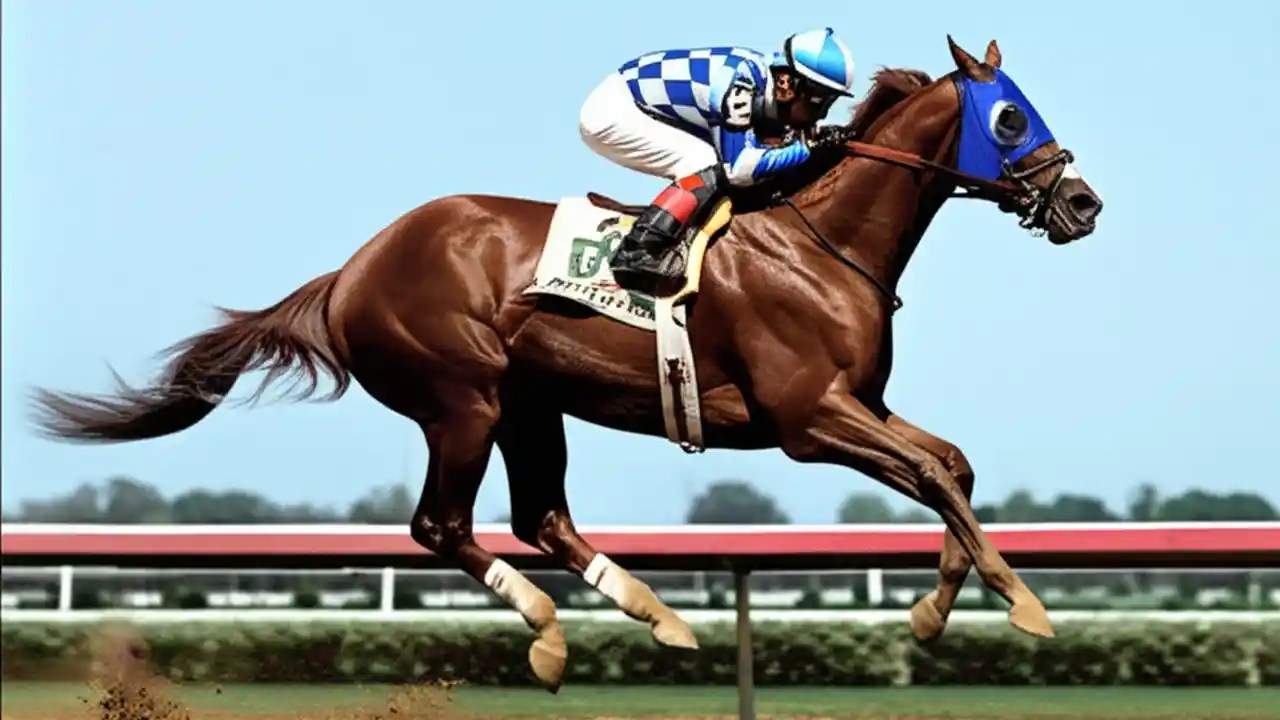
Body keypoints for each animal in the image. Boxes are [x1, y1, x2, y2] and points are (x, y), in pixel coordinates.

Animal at [30, 36, 1103, 691]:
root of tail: (354, 267)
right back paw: (548, 631)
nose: (1081, 204)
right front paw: (1022, 602)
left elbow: (950, 465)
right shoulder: (807, 420)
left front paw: (930, 611)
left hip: (529, 402)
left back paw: (655, 616)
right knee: (442, 526)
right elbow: (931, 472)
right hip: (462, 398)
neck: (820, 240)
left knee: (540, 517)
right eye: (1009, 119)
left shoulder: (859, 403)